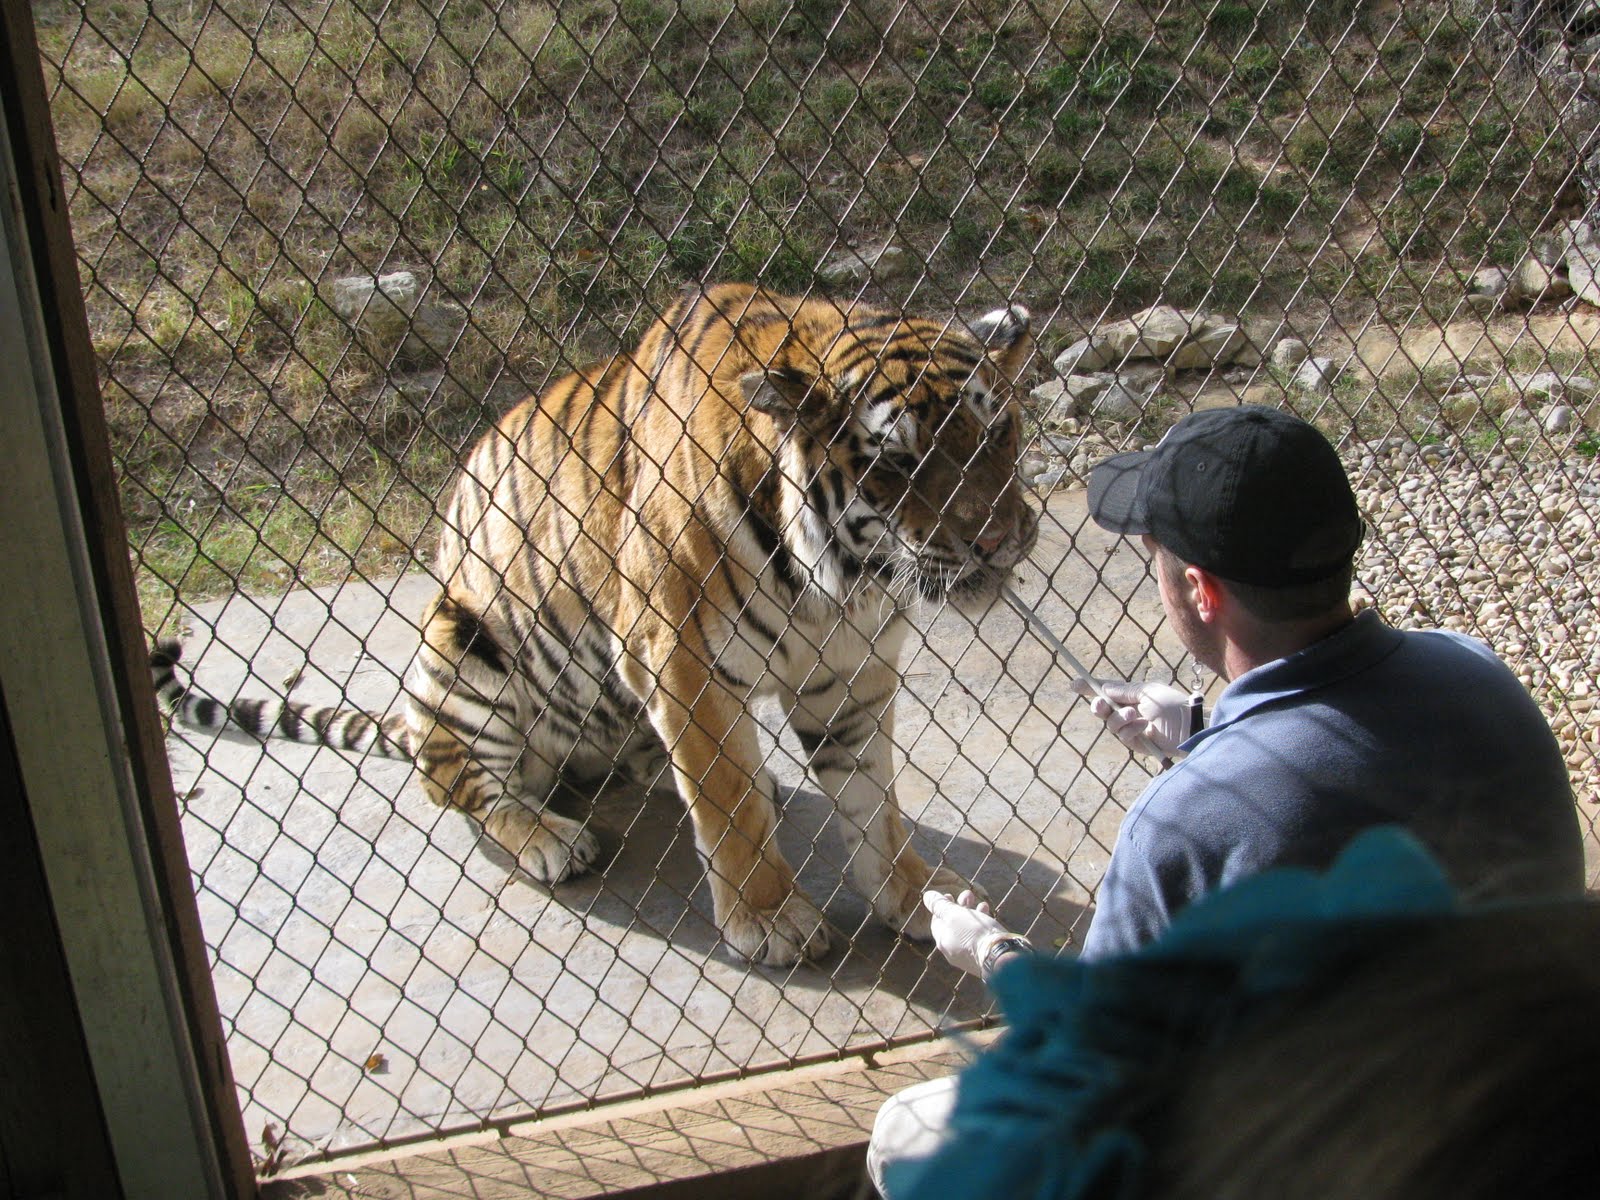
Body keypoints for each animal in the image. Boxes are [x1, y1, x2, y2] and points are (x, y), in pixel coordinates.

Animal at [153, 282, 1037, 966]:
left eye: (998, 430)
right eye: (898, 462)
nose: (996, 539)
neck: (845, 580)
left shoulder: (848, 675)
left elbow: (873, 802)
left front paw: (914, 897)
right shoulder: (682, 664)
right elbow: (727, 799)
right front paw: (770, 921)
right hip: (459, 644)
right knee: (462, 785)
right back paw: (548, 837)